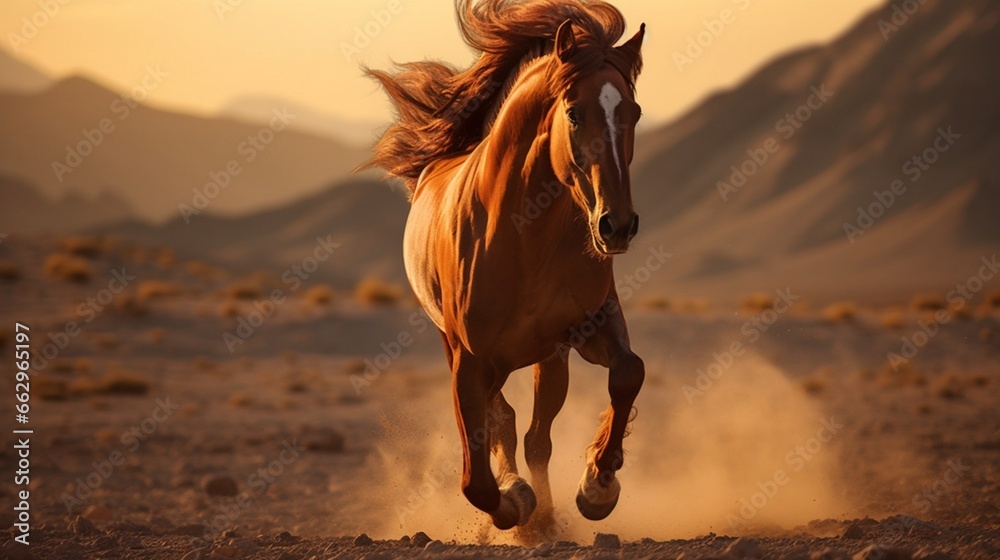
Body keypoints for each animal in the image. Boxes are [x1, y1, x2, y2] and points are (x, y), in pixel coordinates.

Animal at [362, 0, 646, 534]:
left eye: (633, 112)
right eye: (574, 112)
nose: (616, 225)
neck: (523, 239)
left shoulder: (588, 327)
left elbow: (628, 373)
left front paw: (598, 486)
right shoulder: (470, 362)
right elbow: (477, 476)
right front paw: (516, 504)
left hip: (549, 358)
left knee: (535, 436)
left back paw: (551, 516)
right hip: (461, 348)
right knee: (507, 426)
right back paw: (528, 511)